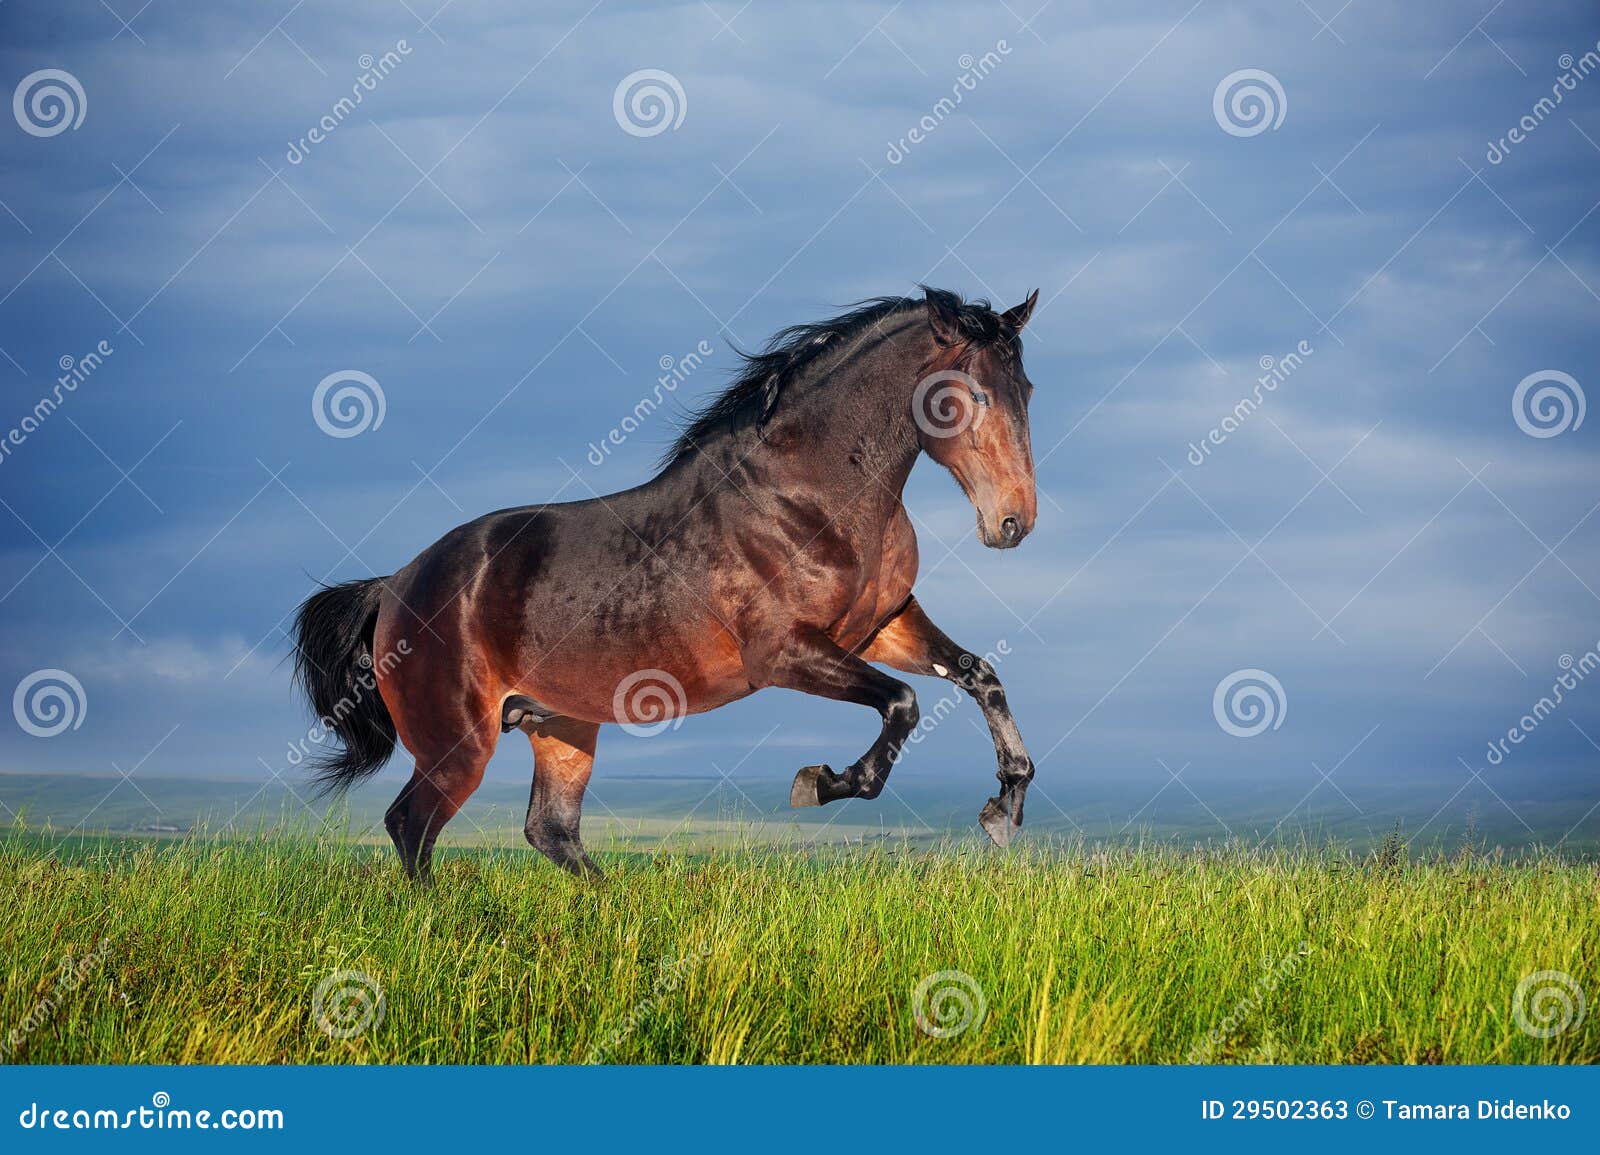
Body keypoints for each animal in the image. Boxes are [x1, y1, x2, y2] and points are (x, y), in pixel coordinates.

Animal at [292, 286, 1042, 883]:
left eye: (1026, 392)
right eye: (968, 395)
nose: (1014, 522)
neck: (807, 495)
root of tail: (396, 586)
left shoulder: (880, 626)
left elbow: (978, 675)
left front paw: (1004, 804)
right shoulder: (783, 653)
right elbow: (904, 704)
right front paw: (822, 782)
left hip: (558, 725)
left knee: (550, 830)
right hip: (457, 742)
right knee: (411, 825)